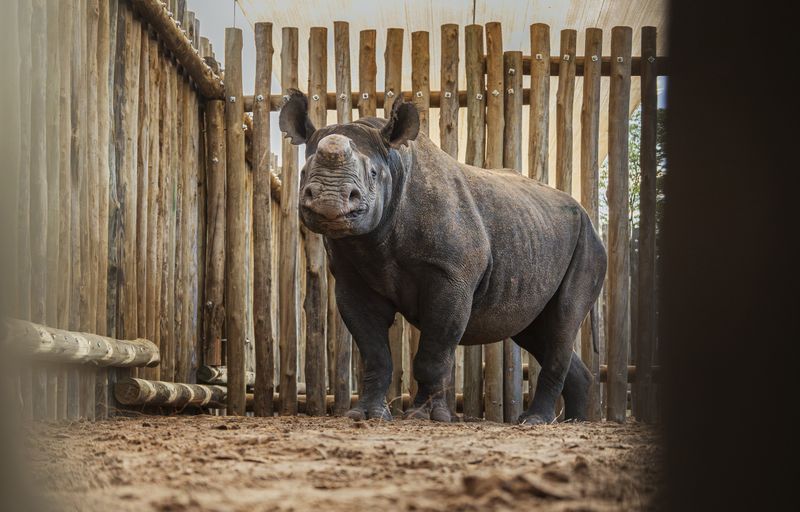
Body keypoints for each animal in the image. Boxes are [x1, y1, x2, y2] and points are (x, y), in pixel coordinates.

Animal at [279, 90, 606, 424]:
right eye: (303, 172)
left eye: (372, 174)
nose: (329, 202)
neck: (394, 166)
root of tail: (585, 213)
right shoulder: (351, 279)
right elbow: (374, 353)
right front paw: (365, 415)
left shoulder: (451, 276)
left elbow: (433, 354)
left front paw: (424, 416)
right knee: (535, 330)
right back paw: (575, 422)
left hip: (589, 244)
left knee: (562, 321)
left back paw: (535, 421)